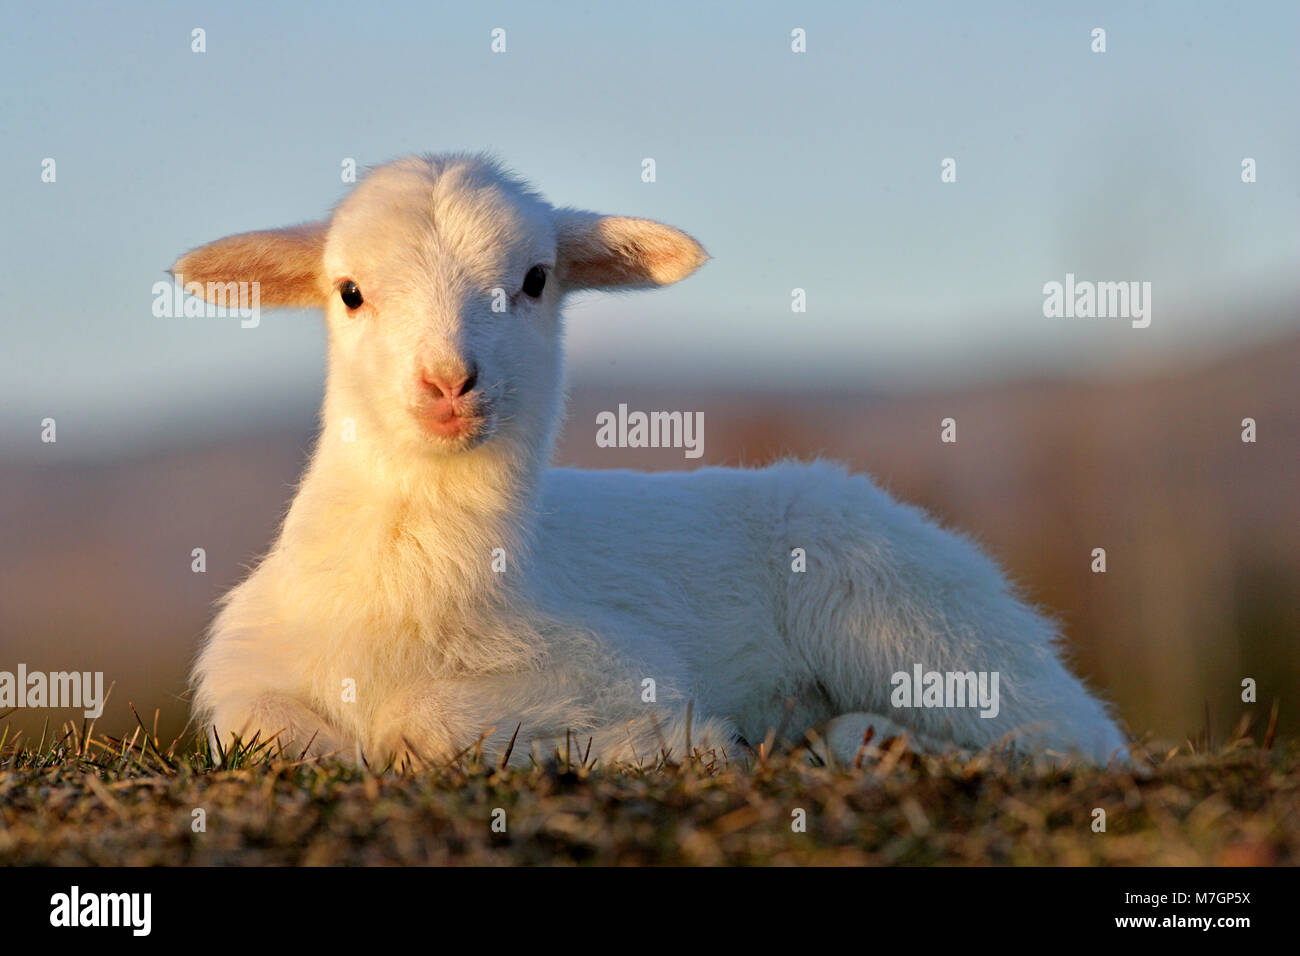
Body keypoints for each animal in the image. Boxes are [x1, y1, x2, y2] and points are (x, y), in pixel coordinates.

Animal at [173, 153, 1127, 769]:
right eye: (350, 292)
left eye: (535, 280)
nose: (448, 382)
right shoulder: (244, 679)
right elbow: (276, 733)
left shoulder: (616, 665)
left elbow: (425, 723)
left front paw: (674, 742)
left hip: (916, 622)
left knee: (1074, 739)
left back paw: (871, 742)